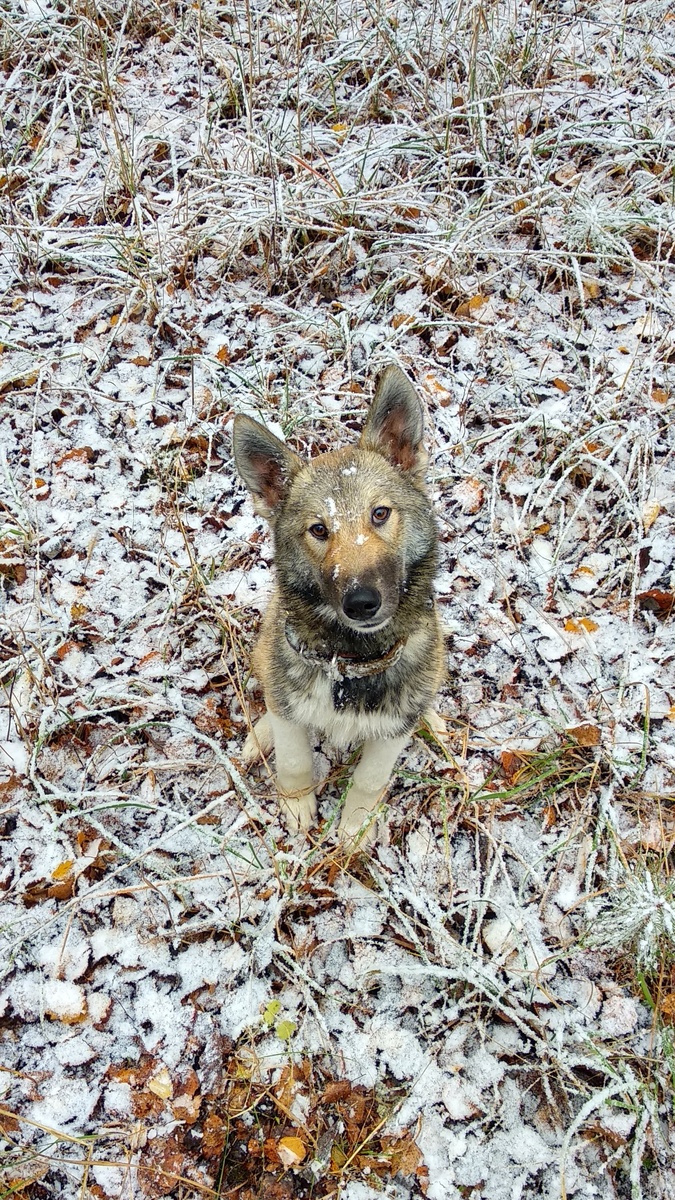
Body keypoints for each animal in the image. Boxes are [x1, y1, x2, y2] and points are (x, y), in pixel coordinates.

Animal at [230, 364, 441, 844]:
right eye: (319, 530)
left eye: (380, 514)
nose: (361, 602)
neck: (350, 661)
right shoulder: (291, 705)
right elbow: (294, 759)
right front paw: (297, 805)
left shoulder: (392, 732)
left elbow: (370, 778)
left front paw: (355, 826)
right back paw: (260, 735)